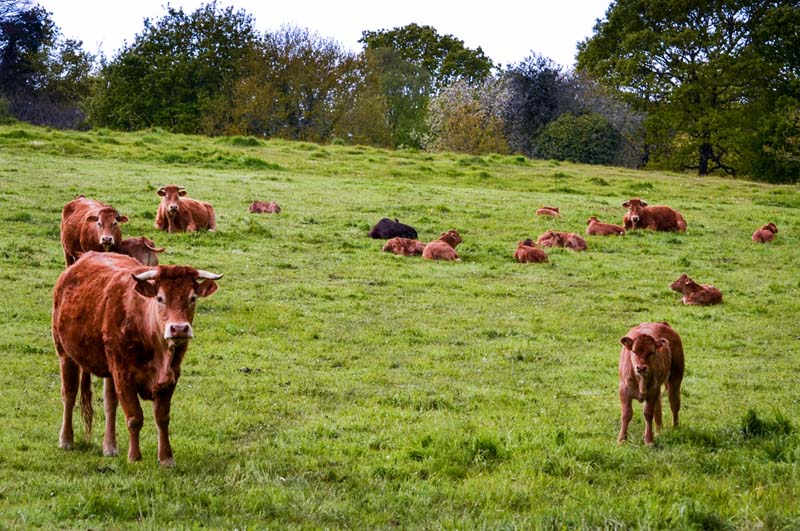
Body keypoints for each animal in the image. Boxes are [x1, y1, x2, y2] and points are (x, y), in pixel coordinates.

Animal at [52, 251, 222, 466]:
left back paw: (110, 447)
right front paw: (134, 457)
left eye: (192, 298)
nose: (179, 328)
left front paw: (166, 458)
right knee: (69, 394)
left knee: (110, 403)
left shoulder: (172, 376)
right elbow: (134, 417)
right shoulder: (124, 374)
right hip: (65, 354)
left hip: (109, 367)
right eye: (160, 298)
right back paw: (66, 440)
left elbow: (162, 418)